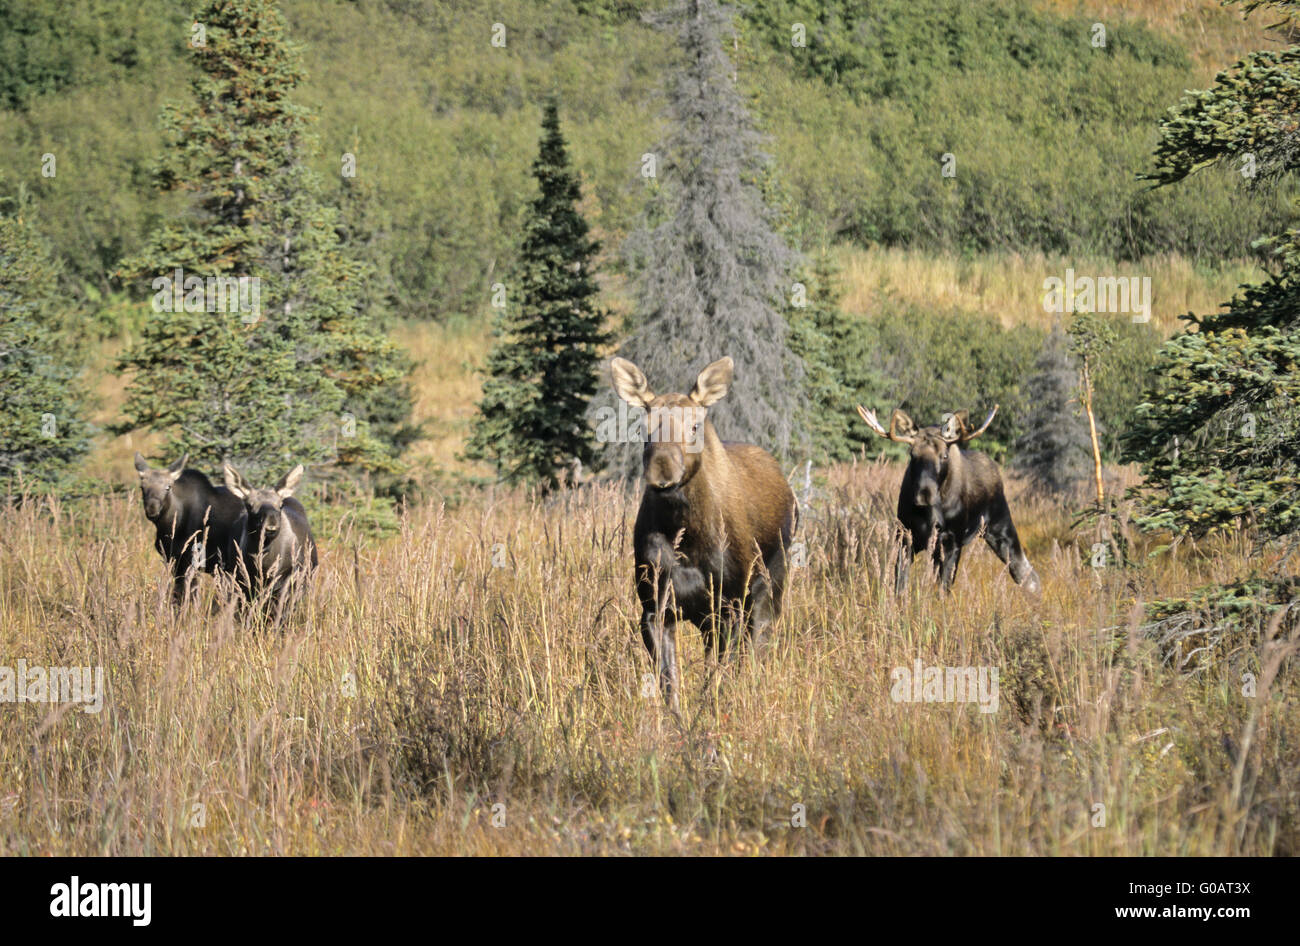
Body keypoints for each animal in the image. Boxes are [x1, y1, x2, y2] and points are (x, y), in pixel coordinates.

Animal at [133, 452, 247, 606]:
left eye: (168, 487)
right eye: (142, 487)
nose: (152, 509)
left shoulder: (192, 562)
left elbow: (188, 597)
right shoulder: (173, 561)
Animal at [221, 462, 318, 624]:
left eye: (280, 505)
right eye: (249, 505)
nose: (271, 526)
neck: (264, 566)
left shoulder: (290, 577)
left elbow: (280, 613)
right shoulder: (242, 580)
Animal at [611, 355, 799, 712]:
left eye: (695, 426)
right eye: (644, 427)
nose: (662, 469)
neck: (684, 535)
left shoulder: (728, 606)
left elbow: (717, 679)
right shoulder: (654, 608)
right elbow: (669, 684)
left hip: (771, 583)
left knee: (761, 646)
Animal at [856, 404, 1040, 596]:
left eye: (944, 455)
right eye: (912, 455)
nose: (924, 494)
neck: (931, 514)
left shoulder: (953, 540)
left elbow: (943, 590)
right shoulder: (905, 535)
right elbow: (900, 585)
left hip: (1000, 526)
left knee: (1025, 571)